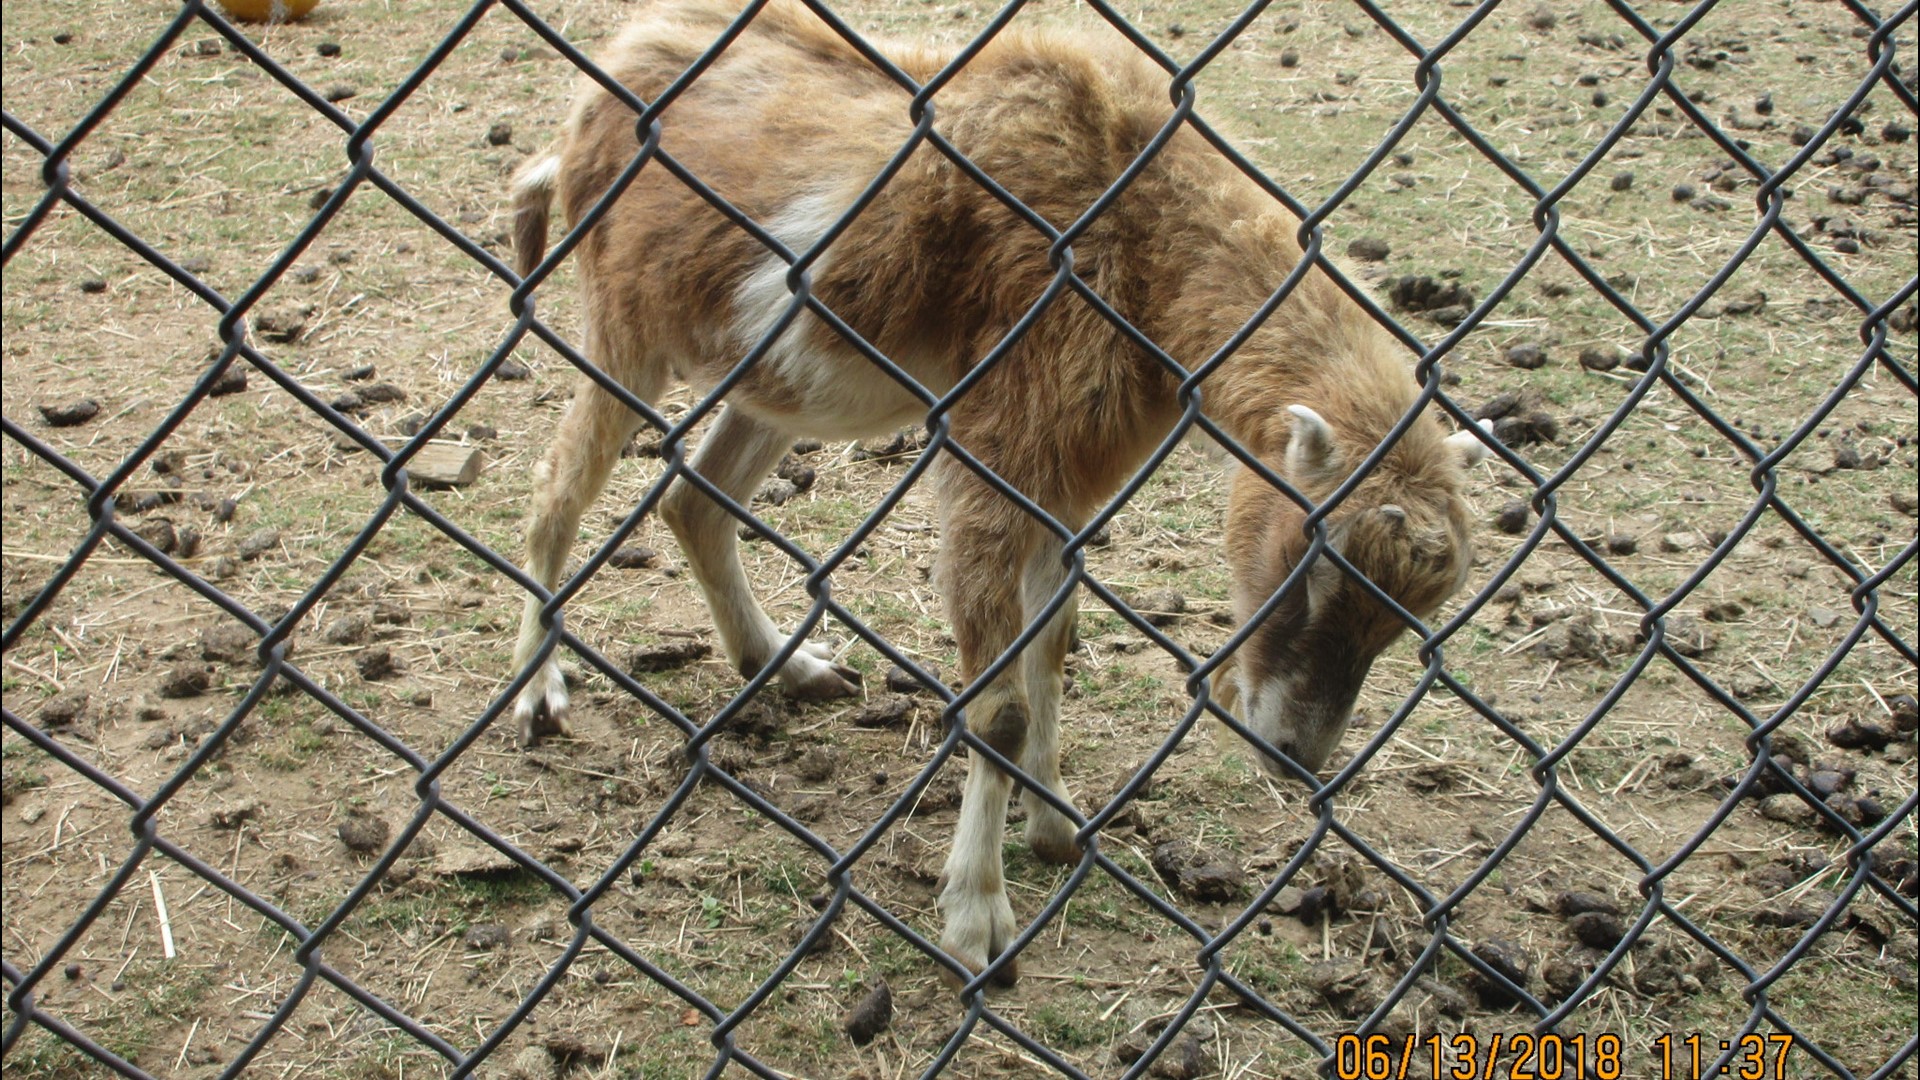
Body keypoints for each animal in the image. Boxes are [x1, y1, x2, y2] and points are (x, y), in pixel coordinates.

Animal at [507, 0, 1488, 984]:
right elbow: (1001, 707)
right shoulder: (997, 445)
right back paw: (539, 693)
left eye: (1408, 618)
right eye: (1312, 566)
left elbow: (1050, 644)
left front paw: (1053, 822)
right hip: (624, 326)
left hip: (770, 377)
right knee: (555, 490)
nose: (1296, 757)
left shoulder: (1065, 481)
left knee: (695, 502)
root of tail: (577, 120)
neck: (1134, 225)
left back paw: (790, 666)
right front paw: (977, 918)